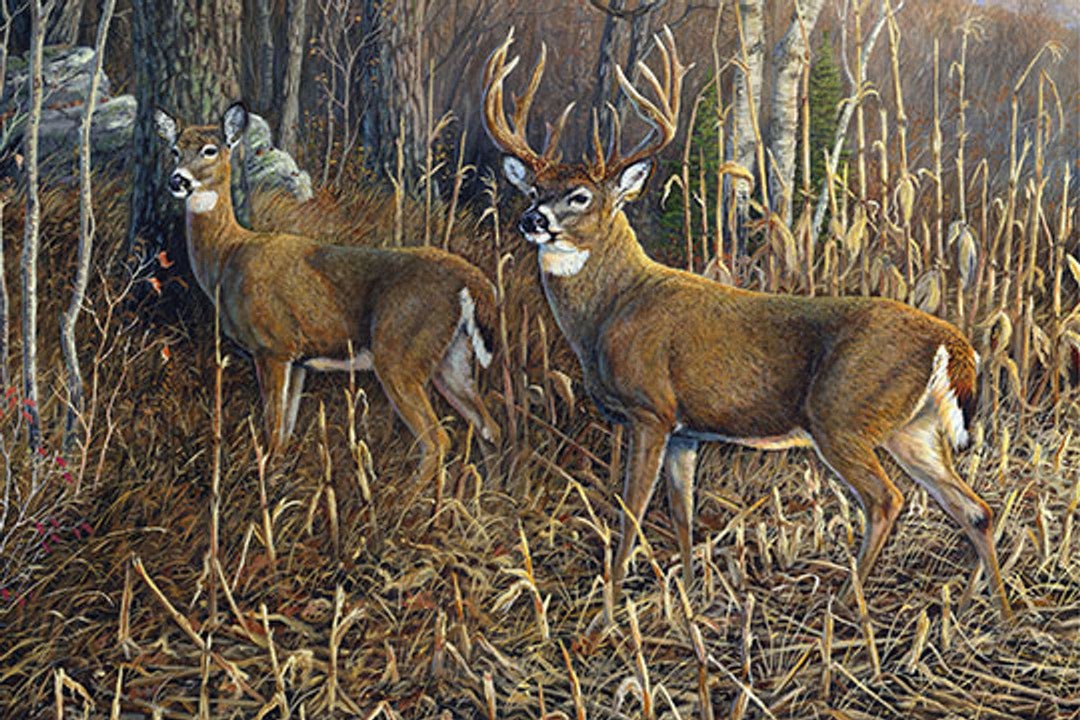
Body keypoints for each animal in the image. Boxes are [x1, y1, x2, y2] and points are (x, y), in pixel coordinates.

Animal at [156, 102, 500, 509]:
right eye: (174, 150)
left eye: (210, 150)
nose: (177, 180)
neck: (228, 257)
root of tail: (471, 278)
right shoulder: (298, 359)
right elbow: (285, 429)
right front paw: (279, 482)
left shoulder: (272, 346)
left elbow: (272, 426)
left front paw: (266, 488)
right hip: (450, 356)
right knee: (488, 426)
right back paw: (487, 501)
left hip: (400, 351)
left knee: (437, 438)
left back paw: (400, 504)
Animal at [483, 28, 1012, 620]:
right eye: (533, 189)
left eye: (579, 196)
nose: (532, 220)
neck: (609, 312)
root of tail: (954, 341)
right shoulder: (686, 430)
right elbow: (683, 512)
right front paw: (690, 595)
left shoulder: (650, 410)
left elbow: (631, 511)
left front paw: (610, 607)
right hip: (912, 429)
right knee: (974, 507)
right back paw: (993, 609)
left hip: (842, 415)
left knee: (887, 499)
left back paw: (846, 604)